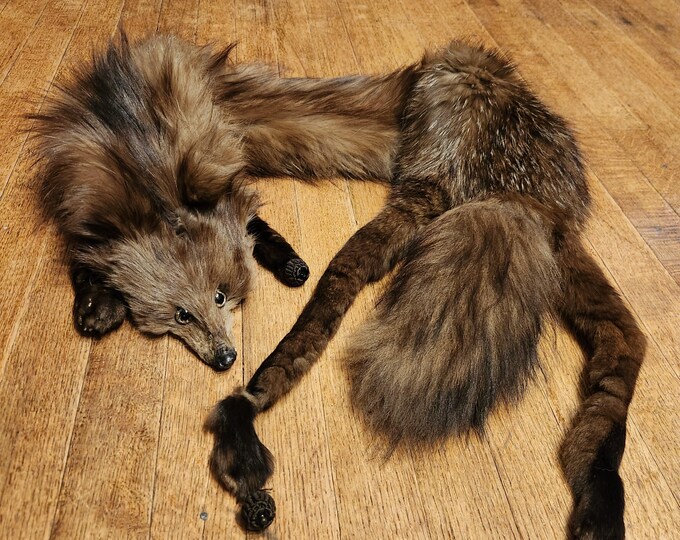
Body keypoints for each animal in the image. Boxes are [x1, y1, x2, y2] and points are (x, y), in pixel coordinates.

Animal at [30, 33, 411, 370]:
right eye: (181, 315)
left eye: (220, 297)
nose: (226, 358)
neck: (157, 202)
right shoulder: (85, 206)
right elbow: (83, 261)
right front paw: (96, 305)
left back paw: (291, 264)